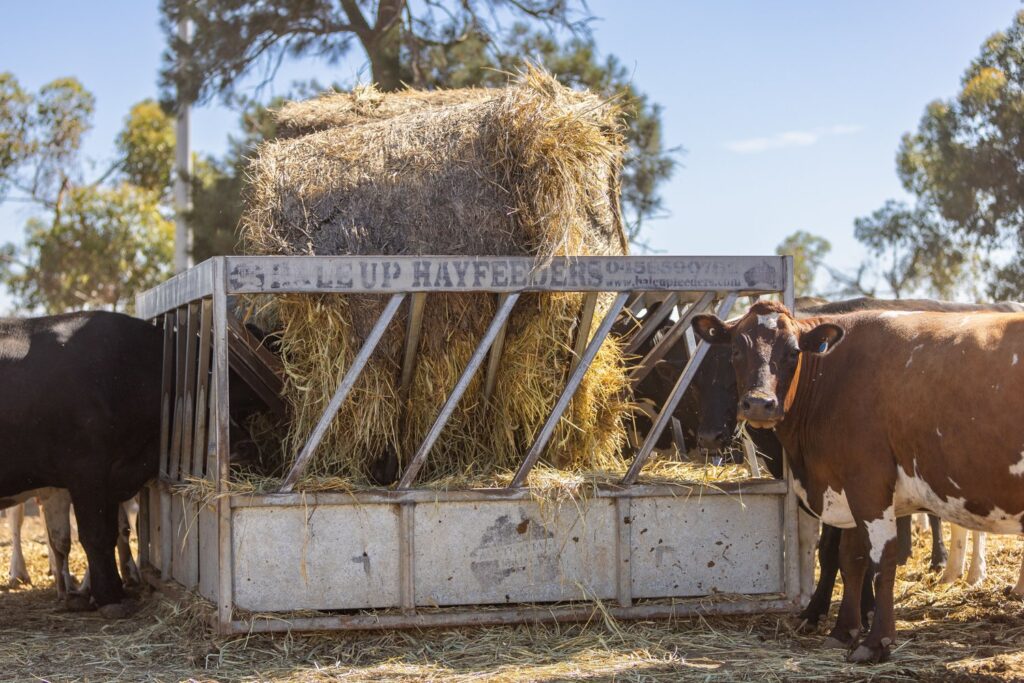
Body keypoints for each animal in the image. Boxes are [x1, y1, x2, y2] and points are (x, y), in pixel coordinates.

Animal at [692, 301, 1024, 662]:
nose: (759, 404)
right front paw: (843, 630)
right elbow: (850, 558)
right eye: (736, 349)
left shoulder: (868, 482)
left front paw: (875, 640)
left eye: (793, 352)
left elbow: (882, 560)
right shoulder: (845, 486)